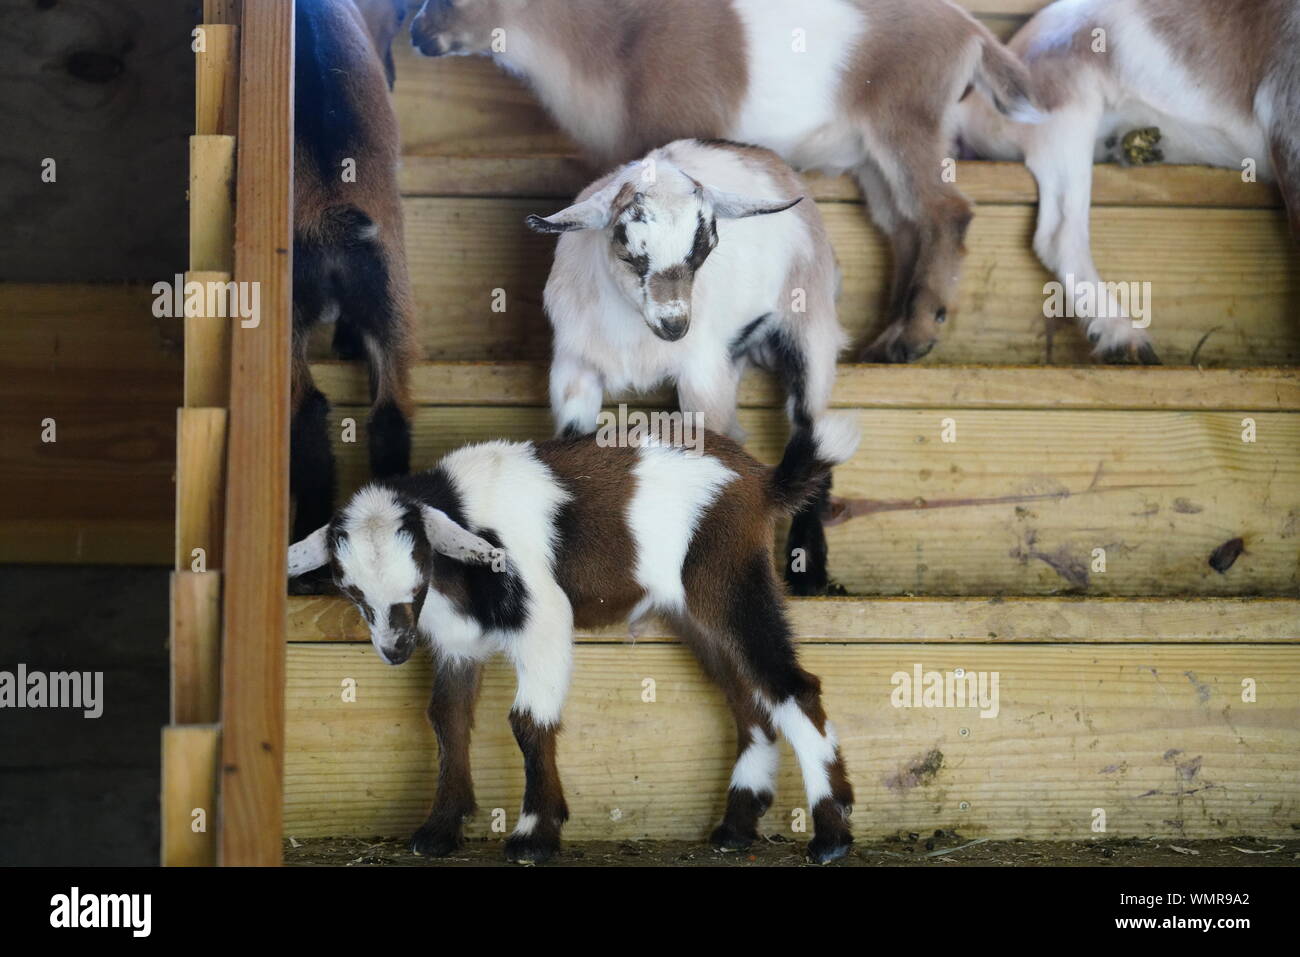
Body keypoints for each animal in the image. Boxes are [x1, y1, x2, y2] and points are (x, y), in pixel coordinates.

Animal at [287, 418, 862, 864]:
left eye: (418, 575)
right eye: (349, 588)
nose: (395, 649)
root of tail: (762, 480)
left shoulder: (543, 619)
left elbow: (527, 721)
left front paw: (535, 836)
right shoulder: (457, 645)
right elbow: (447, 720)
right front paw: (438, 830)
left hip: (730, 578)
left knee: (792, 687)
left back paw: (831, 836)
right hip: (695, 613)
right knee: (747, 697)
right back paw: (736, 828)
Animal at [410, 0, 1040, 363]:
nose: (415, 33)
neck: (615, 38)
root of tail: (972, 30)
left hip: (905, 121)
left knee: (944, 210)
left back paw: (913, 336)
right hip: (873, 156)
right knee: (905, 225)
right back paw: (886, 337)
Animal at [526, 138, 848, 596]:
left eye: (704, 251)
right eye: (629, 253)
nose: (674, 325)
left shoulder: (701, 373)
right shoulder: (575, 367)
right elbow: (573, 441)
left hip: (809, 325)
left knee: (808, 421)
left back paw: (809, 574)